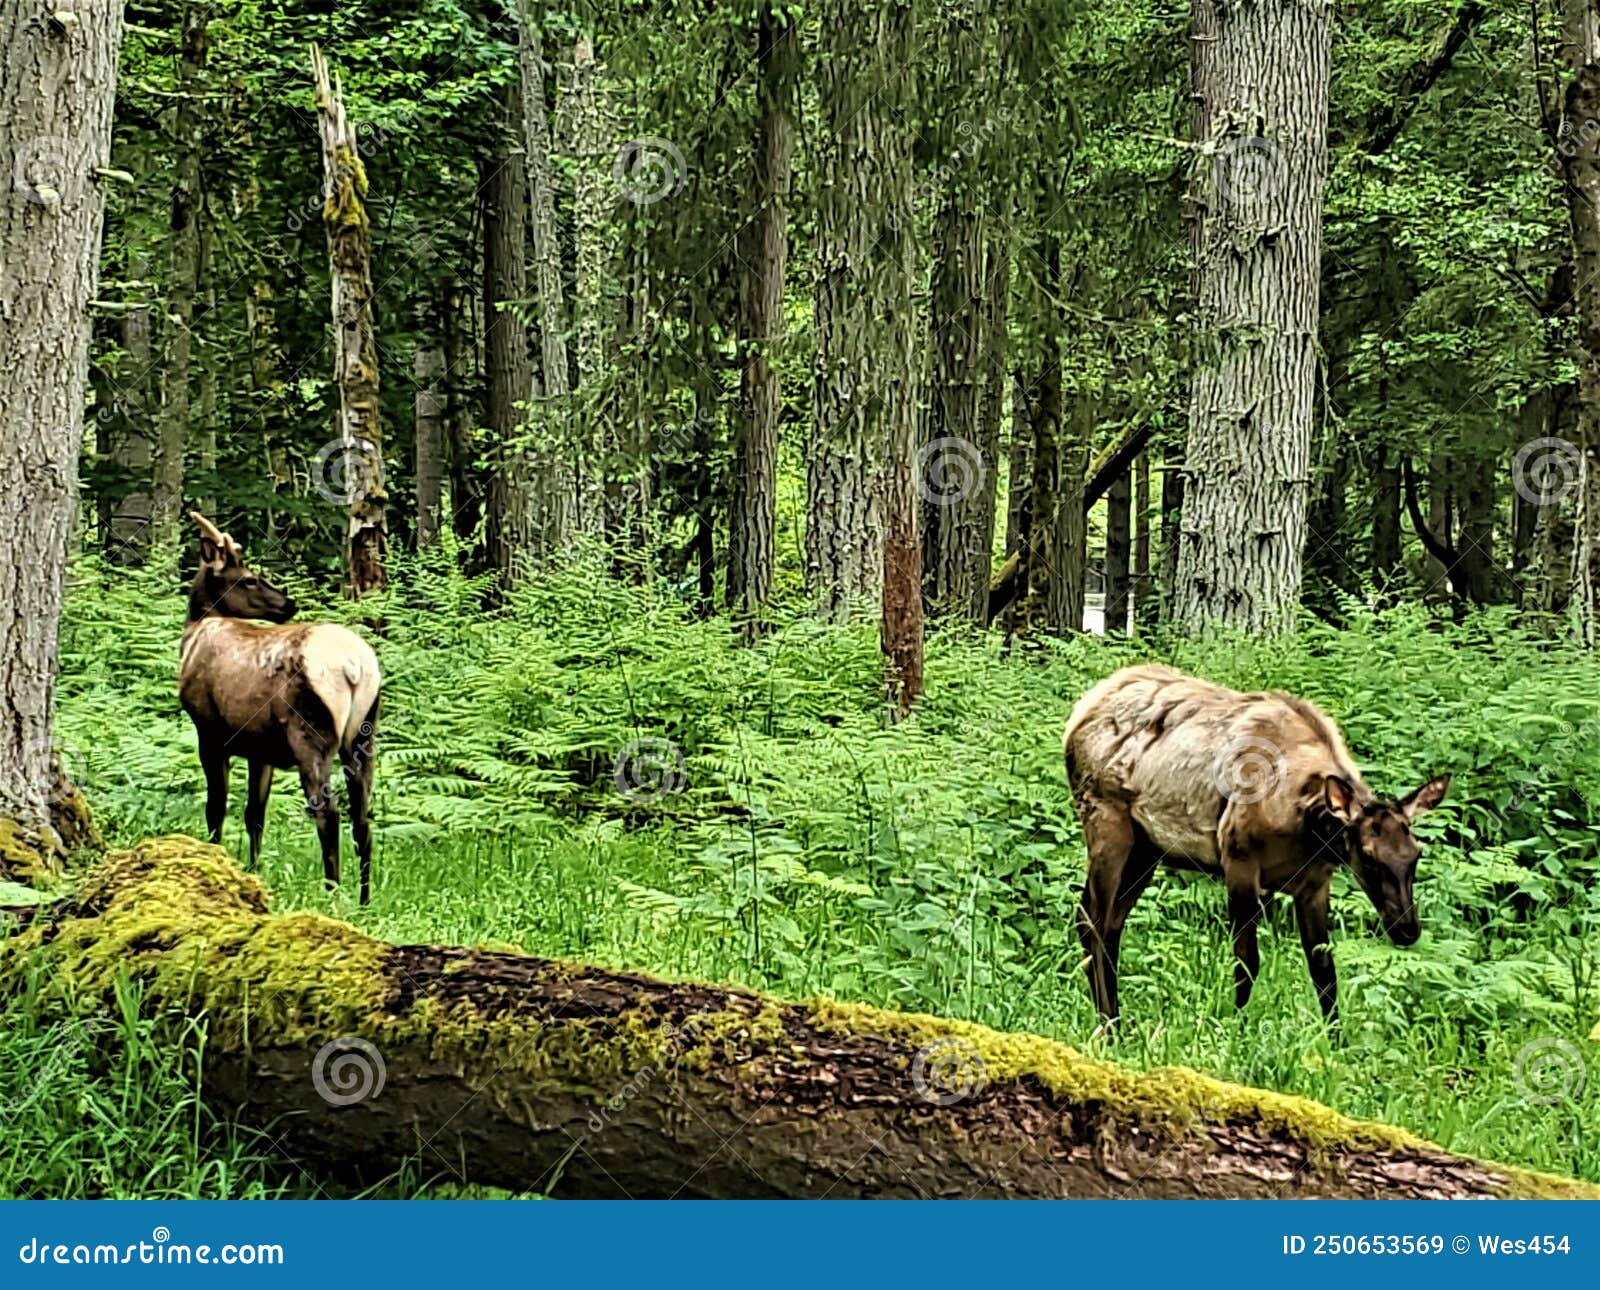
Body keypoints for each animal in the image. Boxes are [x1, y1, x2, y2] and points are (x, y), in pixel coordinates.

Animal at [179, 513, 381, 904]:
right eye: (249, 579)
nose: (288, 603)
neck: (190, 638)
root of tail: (355, 667)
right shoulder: (262, 750)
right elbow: (254, 813)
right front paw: (252, 870)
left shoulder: (209, 731)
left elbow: (216, 807)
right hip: (365, 734)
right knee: (362, 816)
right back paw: (365, 899)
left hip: (311, 732)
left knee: (328, 812)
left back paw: (332, 893)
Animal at [1063, 664, 1449, 1026]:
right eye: (1367, 857)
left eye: (1416, 855)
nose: (1407, 929)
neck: (1310, 831)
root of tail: (1078, 714)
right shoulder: (1239, 862)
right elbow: (1246, 960)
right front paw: (1236, 1027)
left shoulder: (1315, 881)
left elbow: (1324, 969)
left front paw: (1335, 1040)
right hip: (1106, 821)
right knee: (1091, 918)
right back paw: (1107, 1024)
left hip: (1147, 849)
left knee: (1112, 923)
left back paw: (1116, 1021)